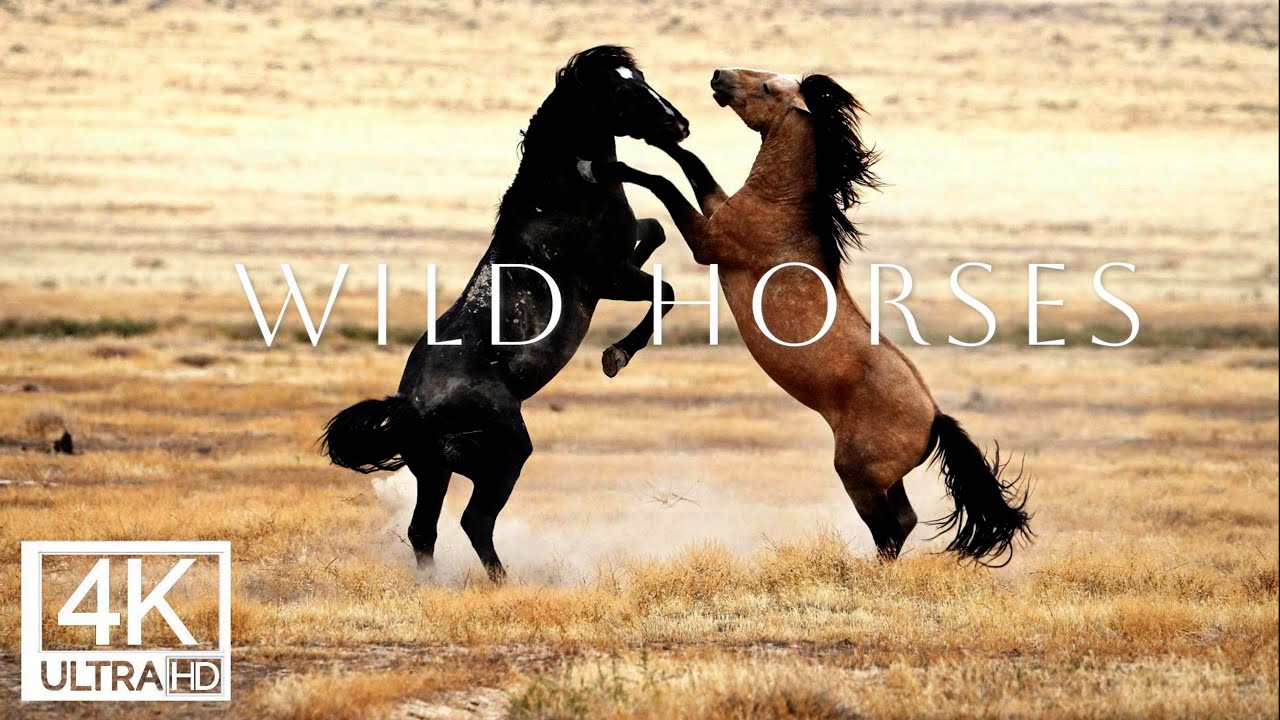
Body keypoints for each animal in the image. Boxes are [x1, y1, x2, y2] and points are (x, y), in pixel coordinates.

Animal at [322, 46, 689, 581]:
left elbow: (657, 231)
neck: (558, 195)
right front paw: (615, 357)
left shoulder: (624, 255)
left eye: (640, 76)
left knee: (424, 530)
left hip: (434, 471)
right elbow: (664, 291)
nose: (679, 124)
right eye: (622, 87)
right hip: (505, 458)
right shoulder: (610, 280)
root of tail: (410, 408)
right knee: (474, 521)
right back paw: (503, 582)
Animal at [577, 67, 1031, 565]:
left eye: (767, 88)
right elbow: (691, 164)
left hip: (857, 477)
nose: (719, 76)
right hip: (885, 481)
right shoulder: (715, 206)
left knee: (889, 531)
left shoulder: (706, 241)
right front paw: (664, 134)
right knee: (906, 521)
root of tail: (935, 420)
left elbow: (666, 184)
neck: (781, 208)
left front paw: (603, 167)